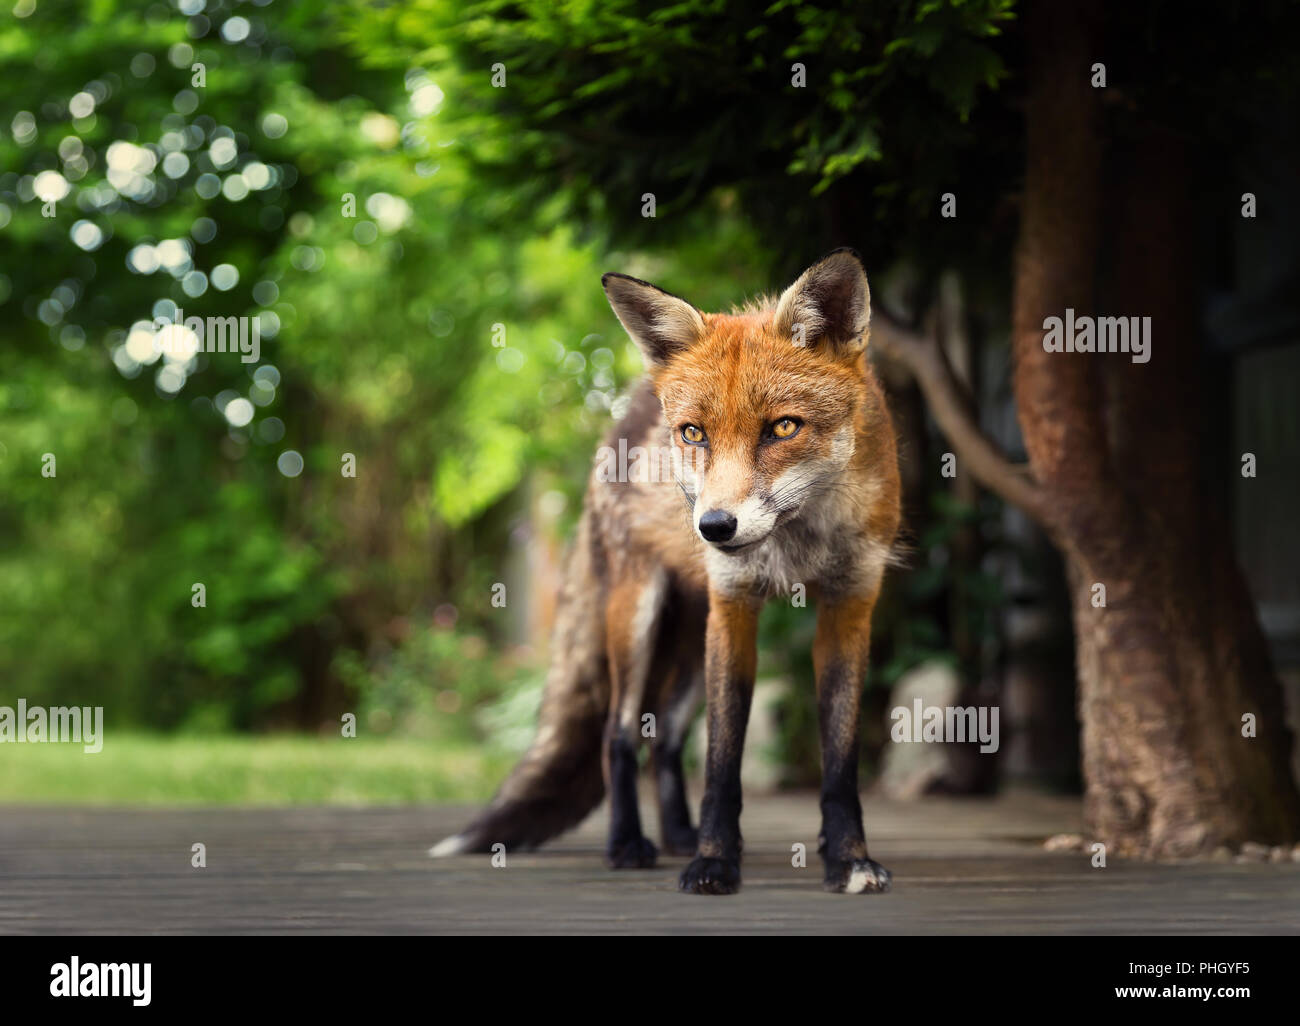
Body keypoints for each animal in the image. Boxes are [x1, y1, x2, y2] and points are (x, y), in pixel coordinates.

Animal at [432, 249, 902, 895]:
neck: (798, 542)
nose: (714, 528)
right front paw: (713, 863)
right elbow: (723, 763)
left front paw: (848, 858)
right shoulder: (734, 605)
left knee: (667, 739)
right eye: (694, 433)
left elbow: (839, 760)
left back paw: (680, 835)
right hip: (639, 618)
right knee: (620, 732)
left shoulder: (849, 606)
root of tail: (622, 414)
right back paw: (629, 844)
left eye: (783, 427)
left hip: (688, 640)